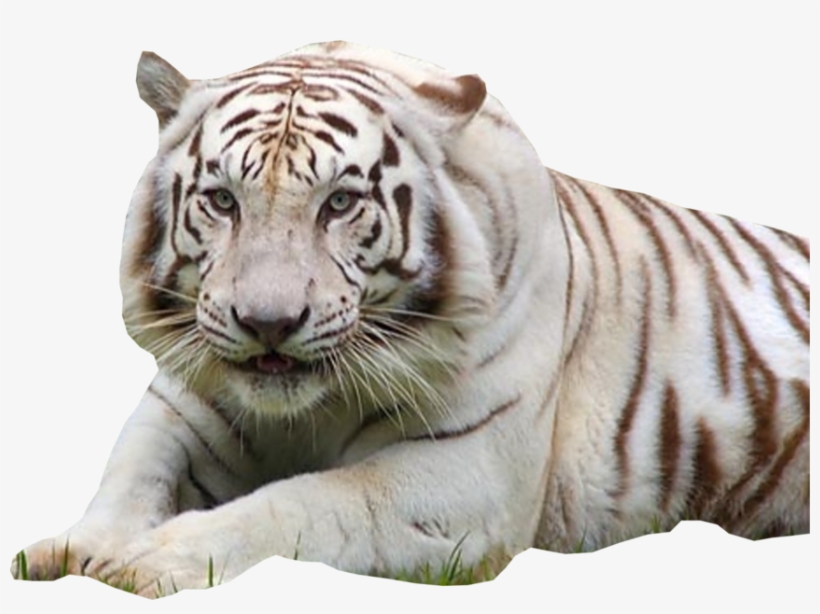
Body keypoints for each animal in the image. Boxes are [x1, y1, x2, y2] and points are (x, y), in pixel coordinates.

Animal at [11, 41, 809, 597]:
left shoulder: (465, 474)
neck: (307, 411)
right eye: (223, 201)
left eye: (338, 202)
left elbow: (304, 503)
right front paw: (74, 550)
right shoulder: (181, 403)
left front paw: (154, 560)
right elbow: (131, 474)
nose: (268, 322)